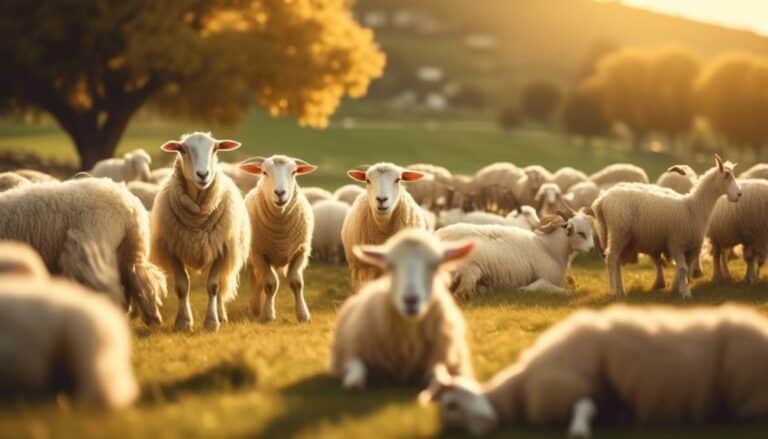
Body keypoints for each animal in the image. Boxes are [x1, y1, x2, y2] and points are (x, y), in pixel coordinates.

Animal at [151, 132, 250, 332]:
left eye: (215, 149)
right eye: (183, 150)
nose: (203, 175)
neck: (197, 218)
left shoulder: (222, 249)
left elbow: (213, 286)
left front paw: (212, 322)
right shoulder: (173, 250)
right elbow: (182, 286)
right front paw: (183, 322)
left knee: (221, 286)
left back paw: (221, 315)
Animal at [240, 155, 316, 322]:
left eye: (294, 172)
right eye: (264, 172)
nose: (280, 193)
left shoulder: (301, 251)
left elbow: (296, 282)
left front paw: (303, 314)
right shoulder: (259, 254)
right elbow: (270, 284)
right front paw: (268, 314)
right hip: (252, 257)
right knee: (256, 278)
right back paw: (255, 307)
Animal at [420, 304, 768, 437]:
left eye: (452, 403)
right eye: (450, 412)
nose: (488, 425)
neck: (520, 387)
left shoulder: (571, 380)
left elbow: (583, 408)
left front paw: (579, 430)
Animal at [436, 211, 594, 296]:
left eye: (591, 231)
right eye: (580, 233)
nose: (592, 248)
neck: (548, 247)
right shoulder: (544, 279)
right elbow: (558, 290)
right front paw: (523, 289)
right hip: (471, 270)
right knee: (461, 293)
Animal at [592, 154, 741, 299]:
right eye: (727, 175)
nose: (739, 194)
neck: (693, 207)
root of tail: (601, 200)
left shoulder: (692, 246)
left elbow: (685, 268)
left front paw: (677, 289)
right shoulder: (677, 243)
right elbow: (682, 268)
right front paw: (685, 293)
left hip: (612, 233)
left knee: (616, 261)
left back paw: (621, 291)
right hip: (619, 231)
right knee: (611, 259)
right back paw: (614, 291)